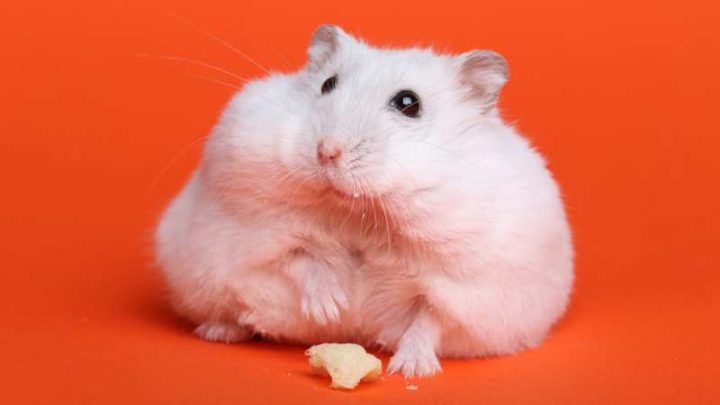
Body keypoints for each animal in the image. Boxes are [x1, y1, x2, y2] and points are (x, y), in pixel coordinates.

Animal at [155, 25, 574, 377]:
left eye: (408, 103)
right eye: (327, 84)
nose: (326, 151)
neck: (356, 212)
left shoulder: (467, 286)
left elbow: (430, 318)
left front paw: (411, 369)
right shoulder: (255, 233)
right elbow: (299, 257)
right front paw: (331, 308)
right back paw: (218, 331)